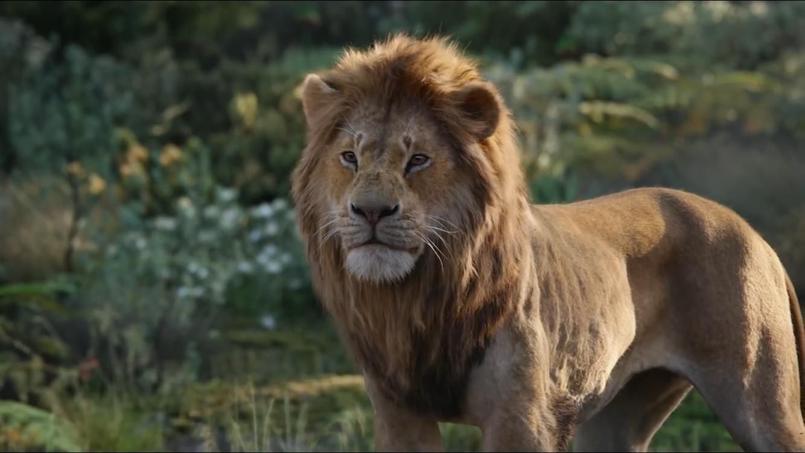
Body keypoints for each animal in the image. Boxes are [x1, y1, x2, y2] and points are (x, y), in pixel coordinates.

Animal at [291, 35, 805, 451]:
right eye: (349, 158)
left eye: (418, 159)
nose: (370, 211)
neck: (420, 296)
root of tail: (752, 231)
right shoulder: (399, 414)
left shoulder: (520, 416)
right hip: (617, 420)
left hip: (762, 406)